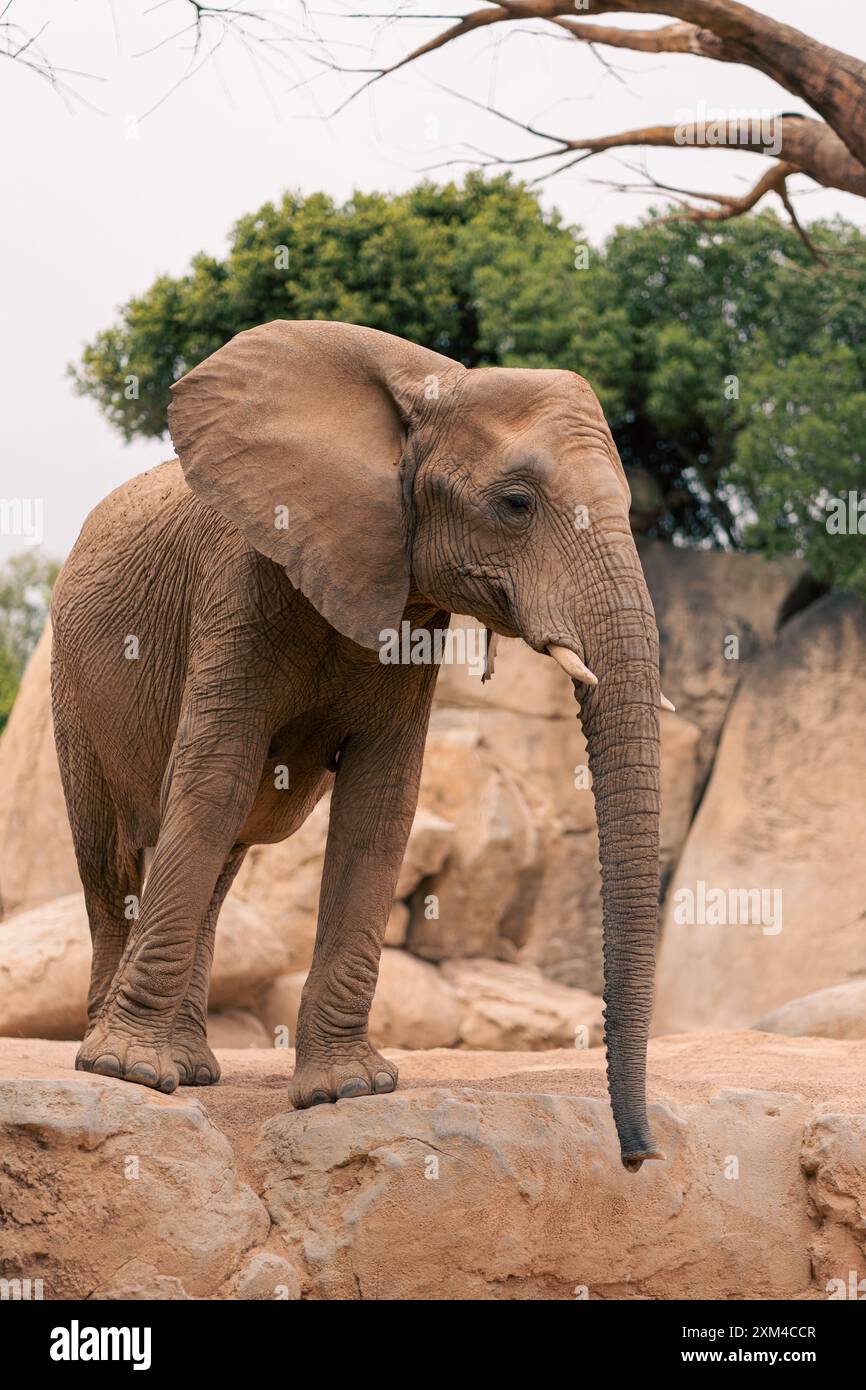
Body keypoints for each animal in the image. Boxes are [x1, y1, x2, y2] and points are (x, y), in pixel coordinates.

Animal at [51, 318, 671, 1171]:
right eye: (515, 505)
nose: (637, 1156)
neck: (429, 387)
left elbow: (380, 806)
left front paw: (348, 1091)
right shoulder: (241, 579)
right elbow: (214, 779)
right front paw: (131, 1075)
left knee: (219, 863)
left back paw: (194, 1068)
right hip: (70, 682)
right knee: (110, 858)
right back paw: (114, 1060)